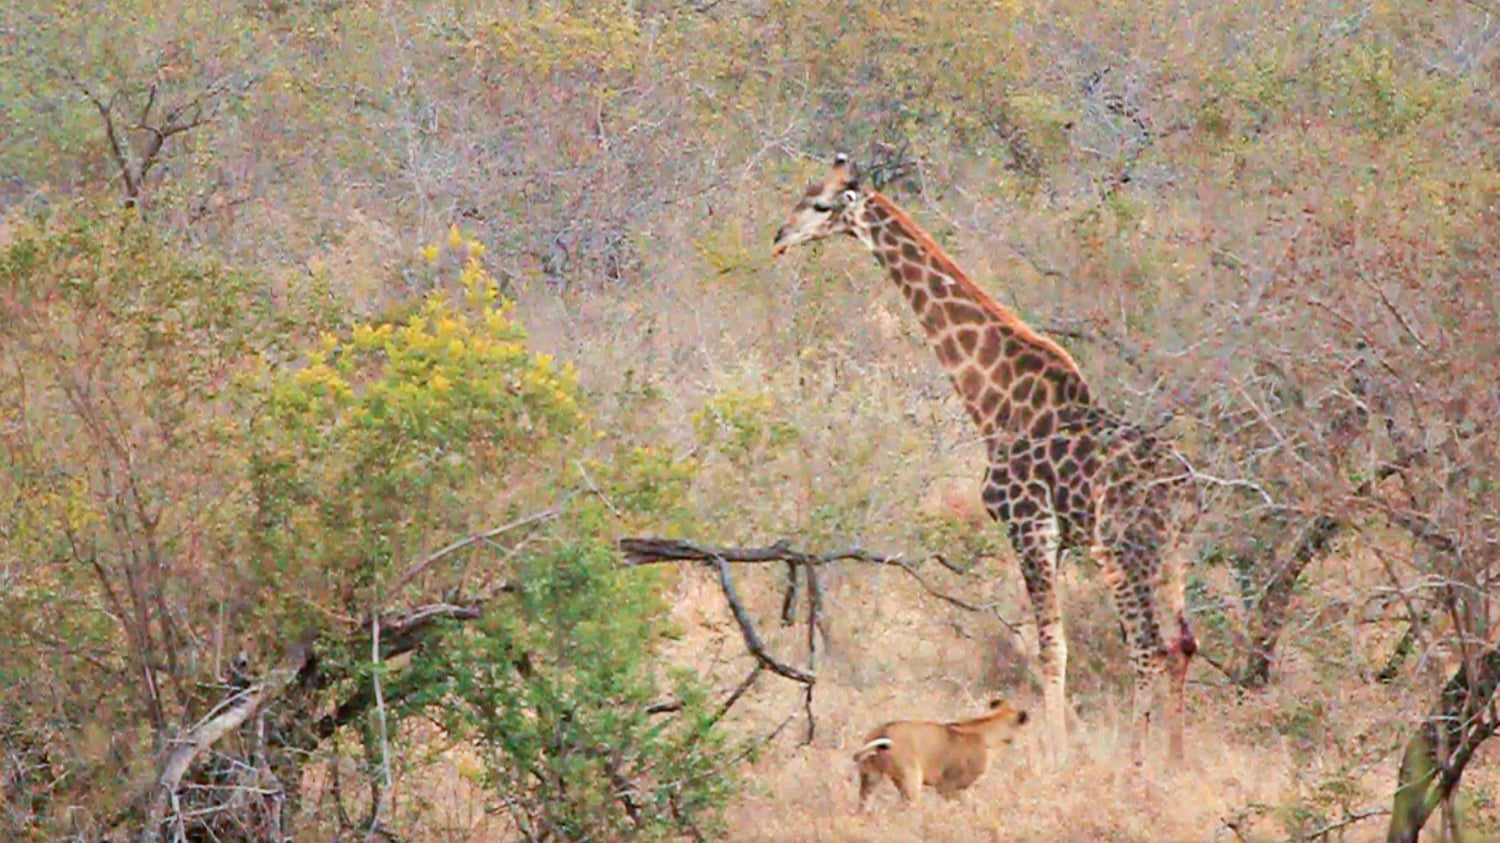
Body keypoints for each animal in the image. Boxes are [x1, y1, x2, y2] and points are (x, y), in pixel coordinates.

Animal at [771, 153, 1200, 767]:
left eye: (821, 205)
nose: (779, 238)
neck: (993, 400)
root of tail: (1189, 491)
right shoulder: (1054, 538)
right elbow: (1038, 640)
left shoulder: (1029, 526)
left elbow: (1051, 646)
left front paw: (1057, 752)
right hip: (1174, 554)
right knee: (1183, 643)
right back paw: (1175, 757)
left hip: (1123, 549)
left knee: (1149, 647)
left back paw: (1138, 762)